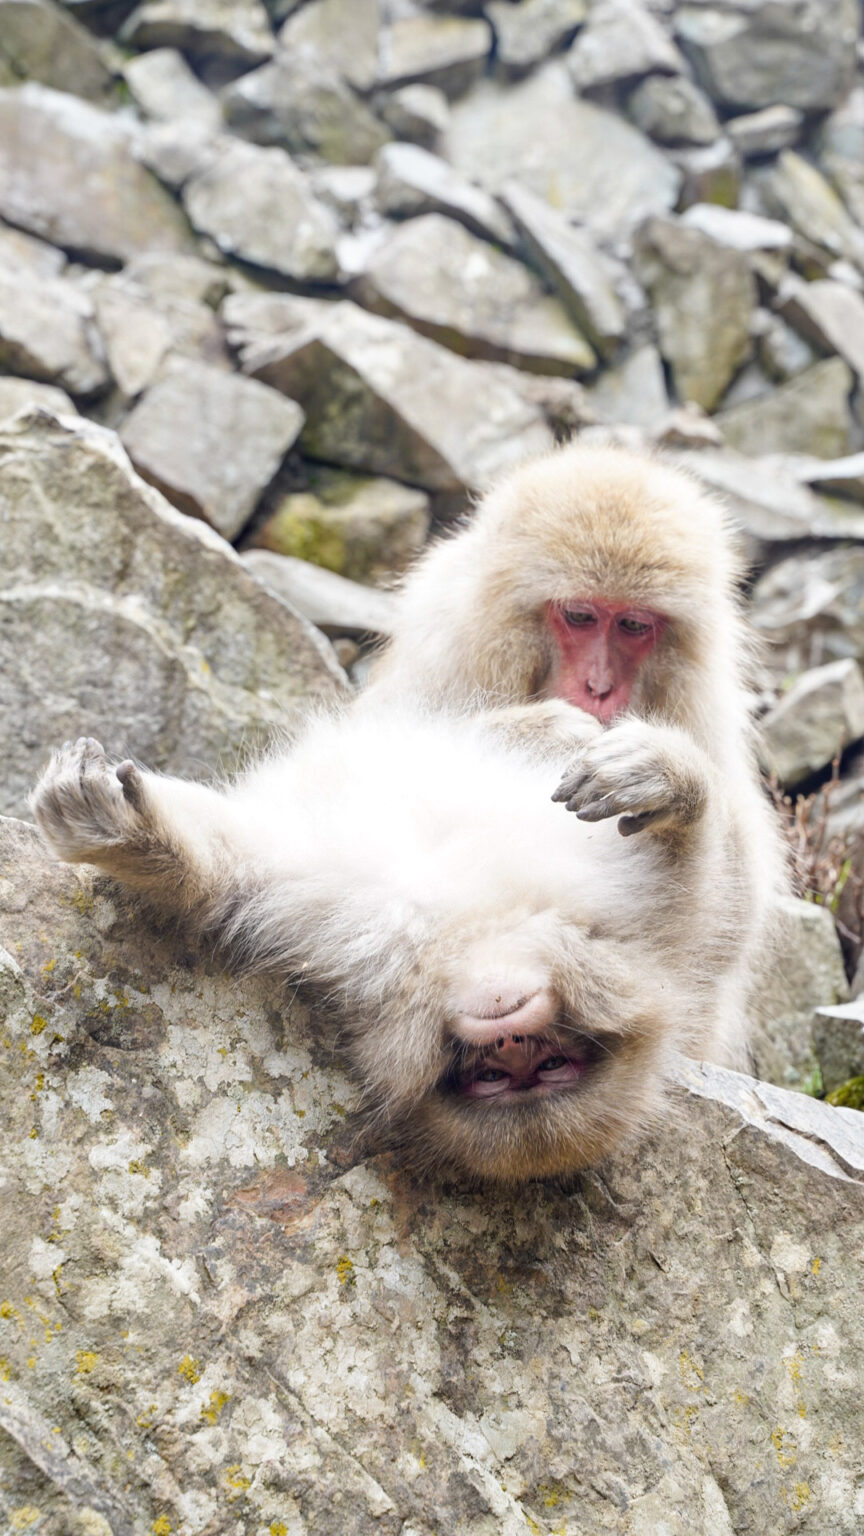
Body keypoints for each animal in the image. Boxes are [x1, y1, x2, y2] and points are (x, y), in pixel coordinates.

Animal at [32, 700, 720, 1184]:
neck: (470, 926)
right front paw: (666, 782)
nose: (509, 1036)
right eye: (499, 1070)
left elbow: (225, 879)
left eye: (545, 1065)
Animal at [364, 440, 788, 1058]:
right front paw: (544, 733)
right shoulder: (445, 646)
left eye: (633, 625)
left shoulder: (701, 700)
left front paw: (669, 778)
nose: (599, 687)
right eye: (581, 616)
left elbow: (723, 934)